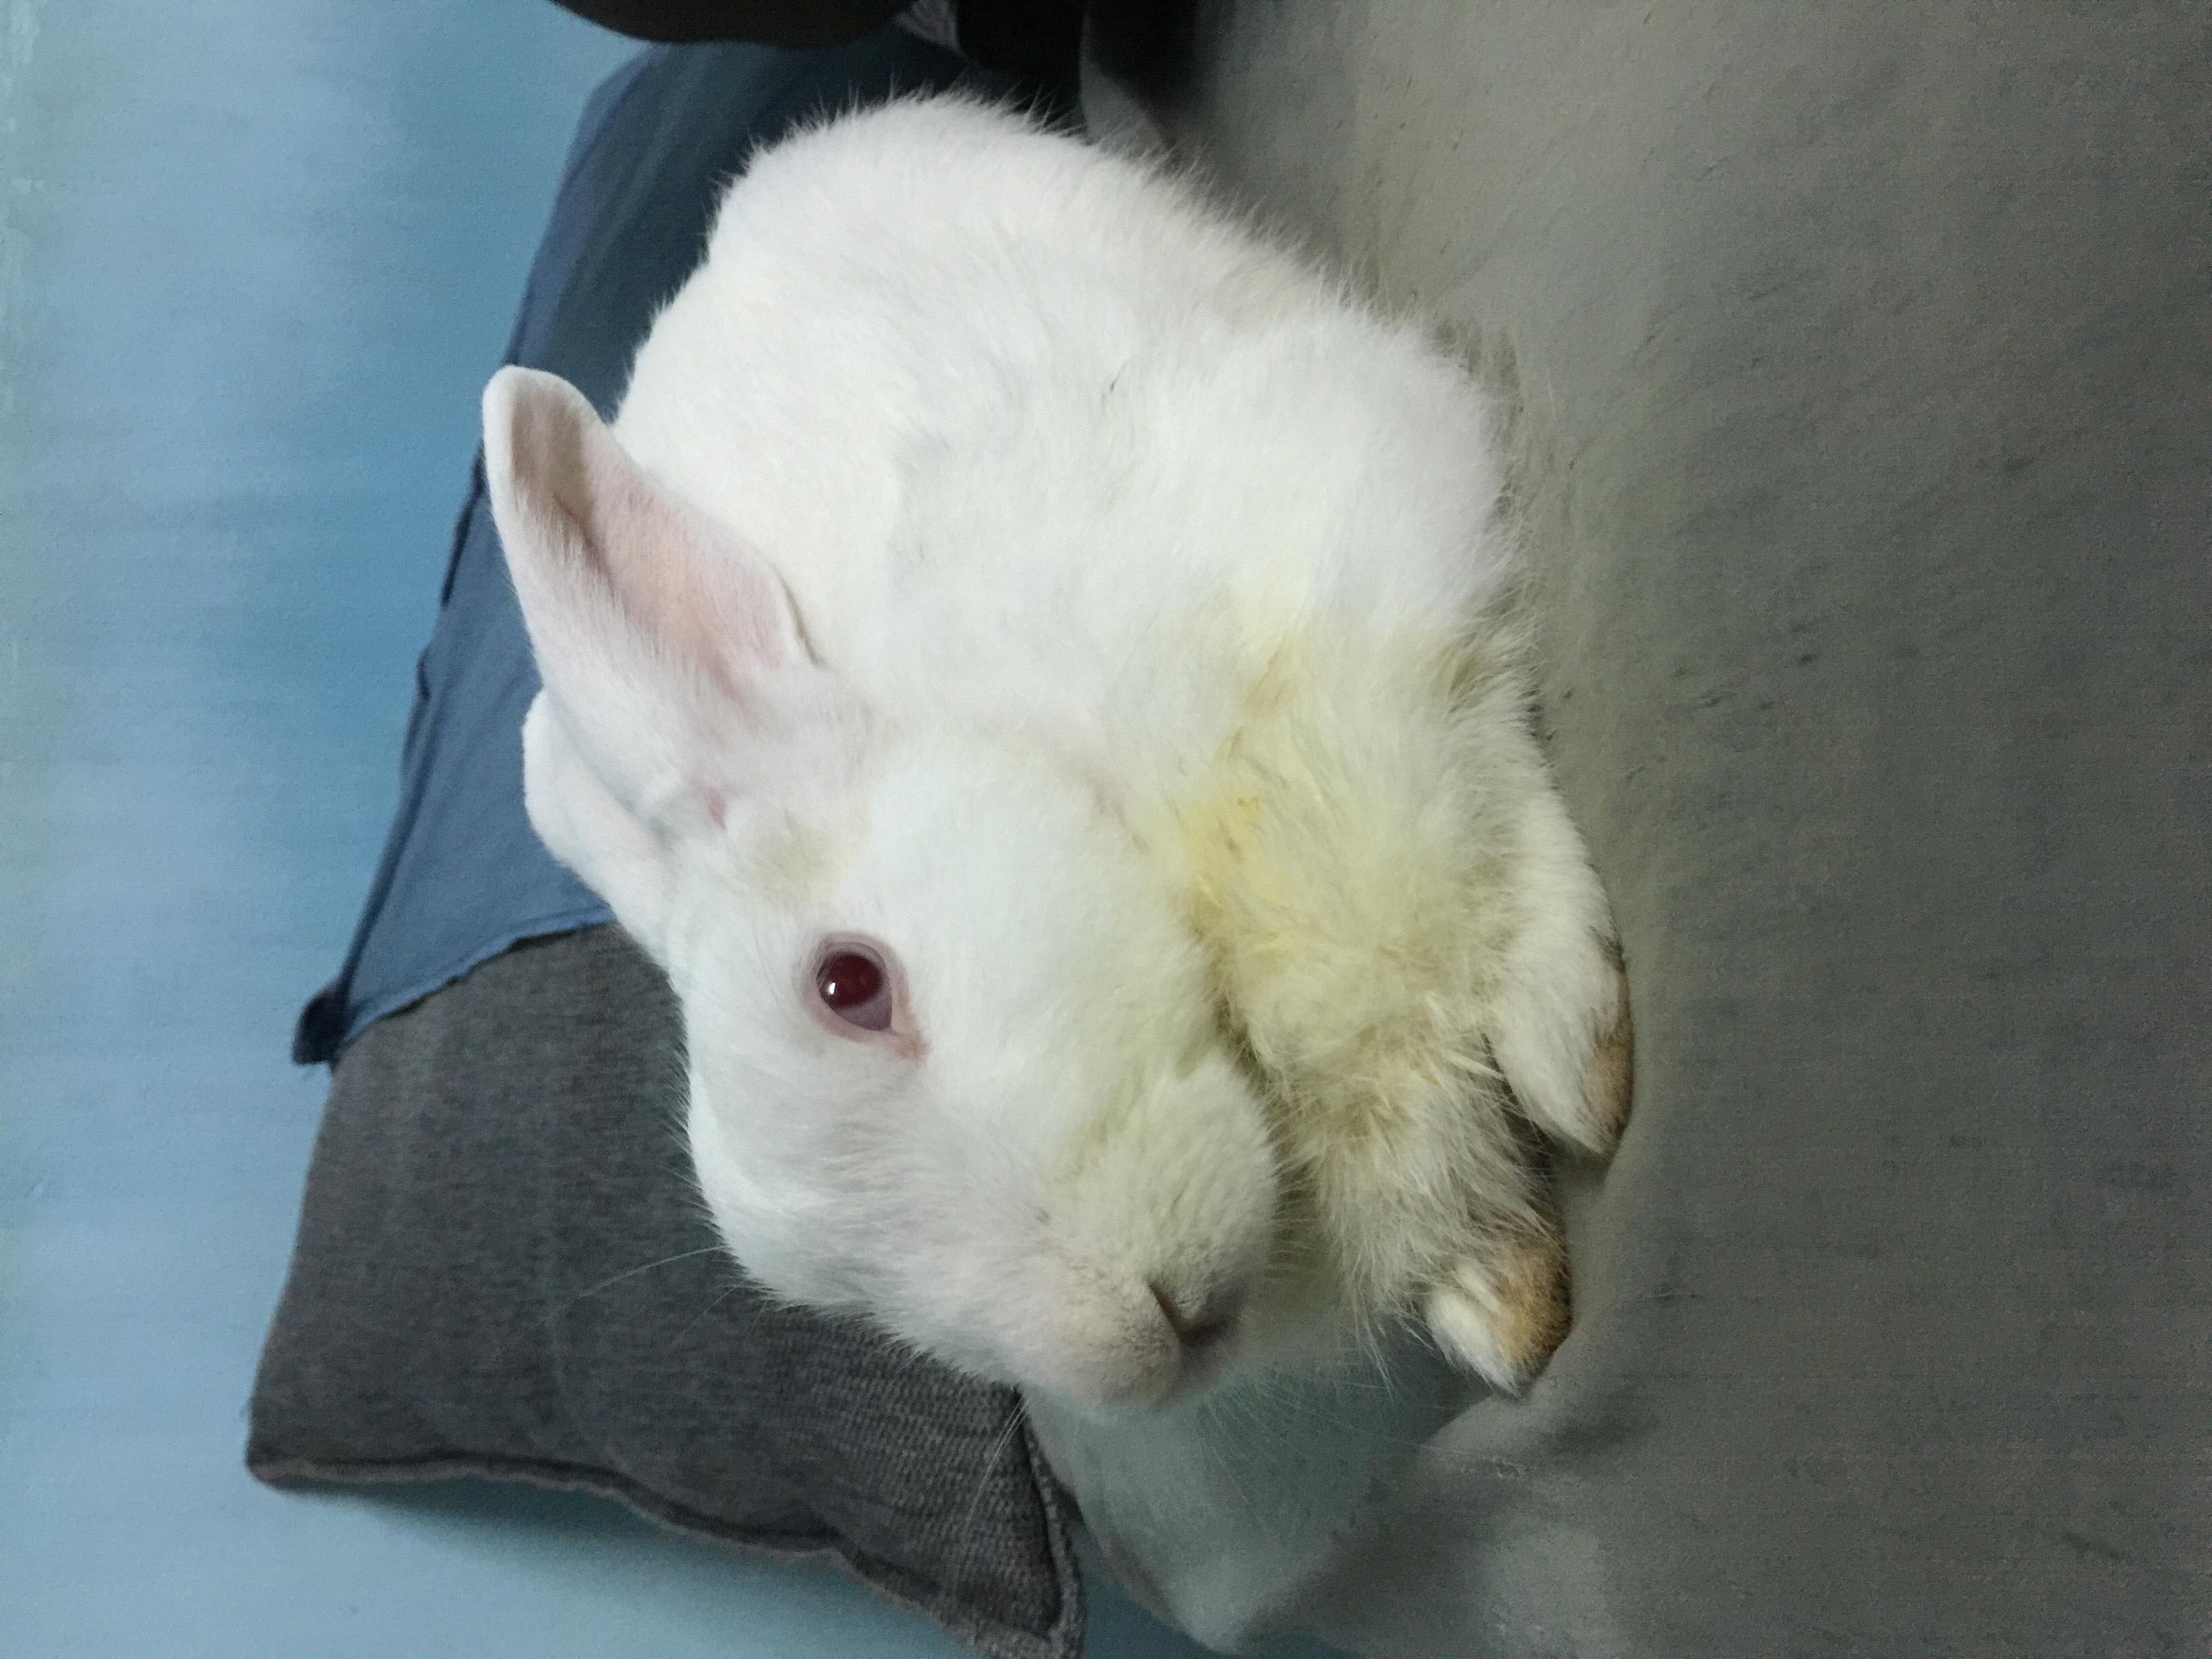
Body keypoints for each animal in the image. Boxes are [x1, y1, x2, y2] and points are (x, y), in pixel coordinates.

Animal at [481, 94, 1631, 1420]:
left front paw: (1576, 1064)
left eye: (849, 984)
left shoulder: (1371, 575)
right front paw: (1504, 1304)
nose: (1135, 1340)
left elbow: (1477, 805)